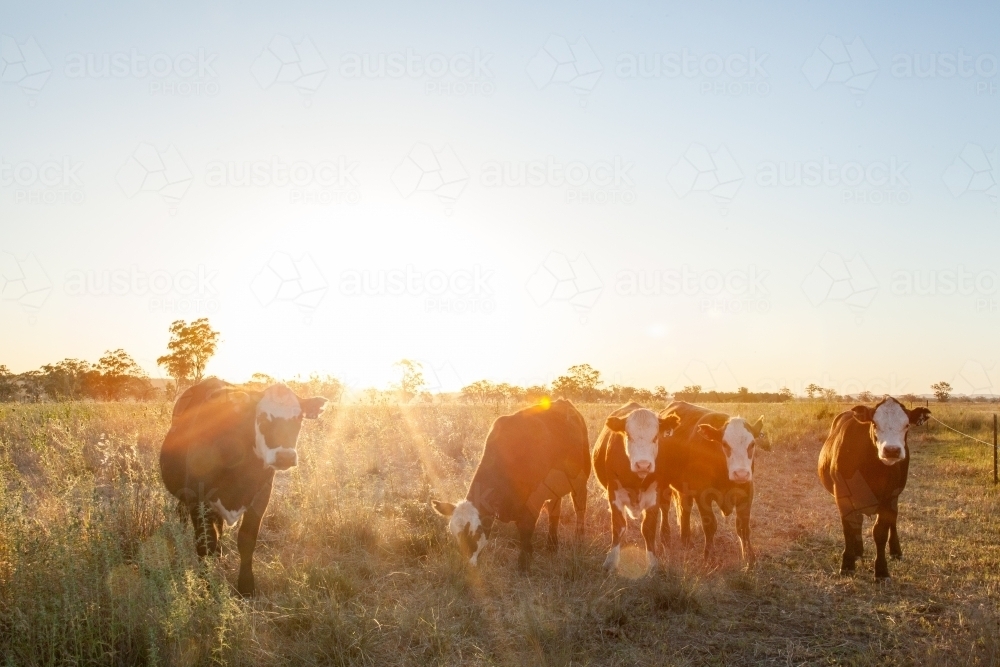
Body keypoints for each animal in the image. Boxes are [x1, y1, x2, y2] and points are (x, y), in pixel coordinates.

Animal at [159, 377, 327, 596]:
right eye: (262, 418)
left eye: (299, 418)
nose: (285, 456)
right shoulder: (197, 498)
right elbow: (205, 543)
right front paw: (205, 586)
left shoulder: (261, 495)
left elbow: (247, 540)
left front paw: (246, 585)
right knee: (183, 517)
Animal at [431, 398, 590, 571]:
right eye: (454, 533)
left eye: (476, 532)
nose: (467, 565)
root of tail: (563, 401)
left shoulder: (534, 499)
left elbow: (525, 530)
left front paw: (523, 564)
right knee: (554, 511)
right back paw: (552, 546)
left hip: (580, 480)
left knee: (580, 508)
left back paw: (579, 539)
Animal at [593, 402, 681, 572]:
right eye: (628, 436)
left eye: (655, 437)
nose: (643, 464)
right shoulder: (614, 494)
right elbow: (618, 526)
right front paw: (611, 561)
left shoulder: (654, 495)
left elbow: (648, 529)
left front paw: (652, 564)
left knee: (665, 508)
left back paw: (666, 535)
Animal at [658, 401, 766, 567]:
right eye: (725, 444)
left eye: (752, 444)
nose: (740, 473)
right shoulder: (703, 494)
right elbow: (709, 526)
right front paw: (709, 557)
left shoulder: (747, 492)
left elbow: (743, 527)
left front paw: (750, 558)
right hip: (664, 481)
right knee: (664, 507)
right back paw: (665, 536)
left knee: (685, 508)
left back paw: (686, 538)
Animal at [818, 396, 930, 579]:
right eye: (874, 424)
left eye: (906, 425)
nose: (891, 450)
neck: (871, 468)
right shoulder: (843, 495)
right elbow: (849, 527)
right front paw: (848, 563)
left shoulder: (890, 497)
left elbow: (880, 532)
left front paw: (882, 570)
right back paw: (858, 550)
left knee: (893, 520)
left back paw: (895, 551)